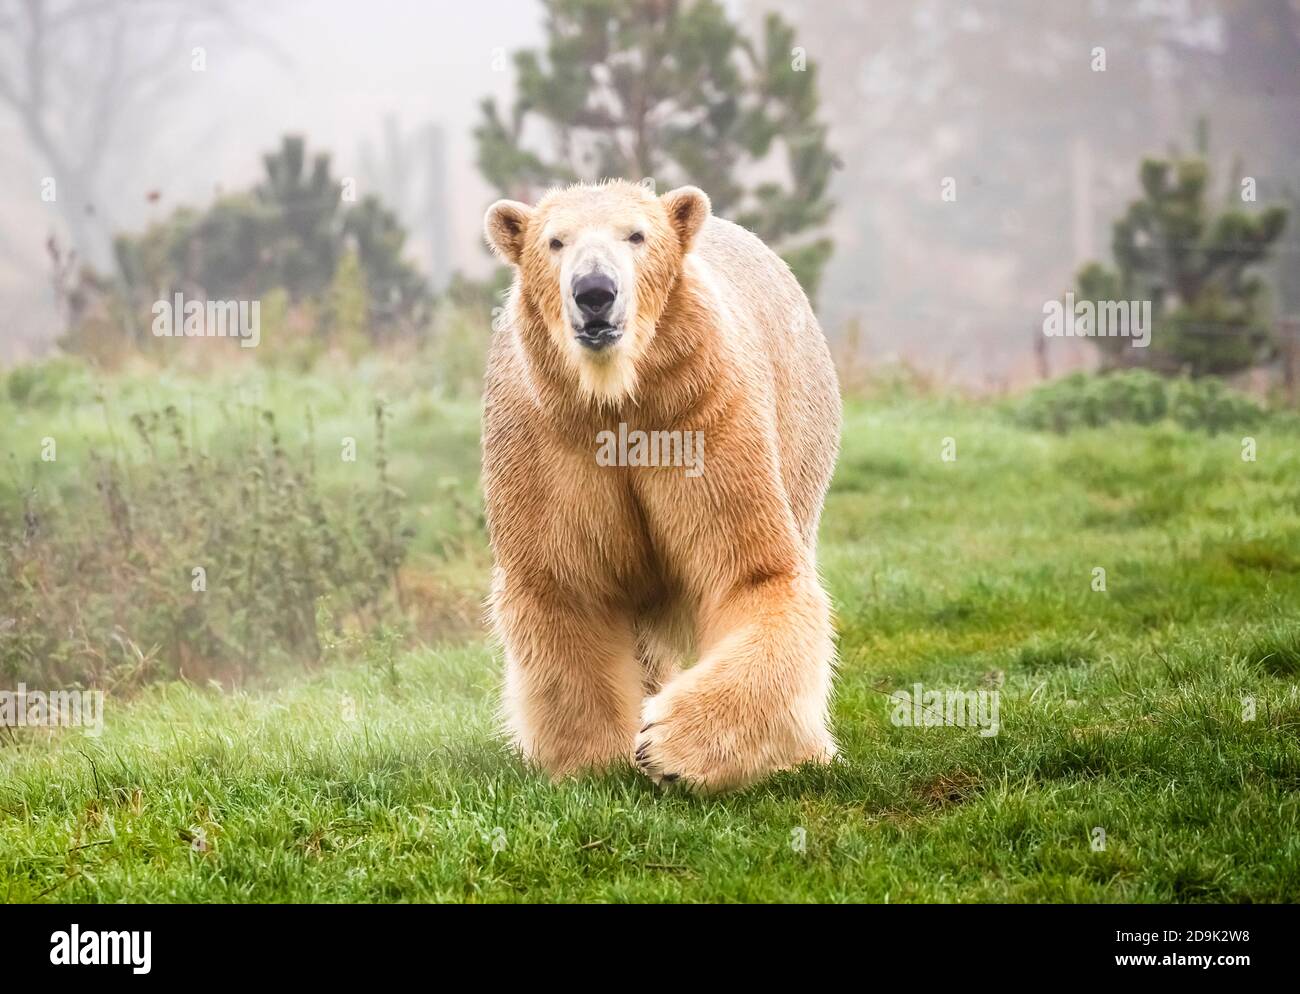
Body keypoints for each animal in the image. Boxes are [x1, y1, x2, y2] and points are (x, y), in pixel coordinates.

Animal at [481, 179, 841, 792]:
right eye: (555, 241)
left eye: (636, 235)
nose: (594, 291)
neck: (617, 398)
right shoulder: (547, 438)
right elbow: (567, 584)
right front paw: (595, 760)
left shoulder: (699, 411)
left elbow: (754, 573)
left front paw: (667, 745)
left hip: (800, 423)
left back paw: (810, 753)